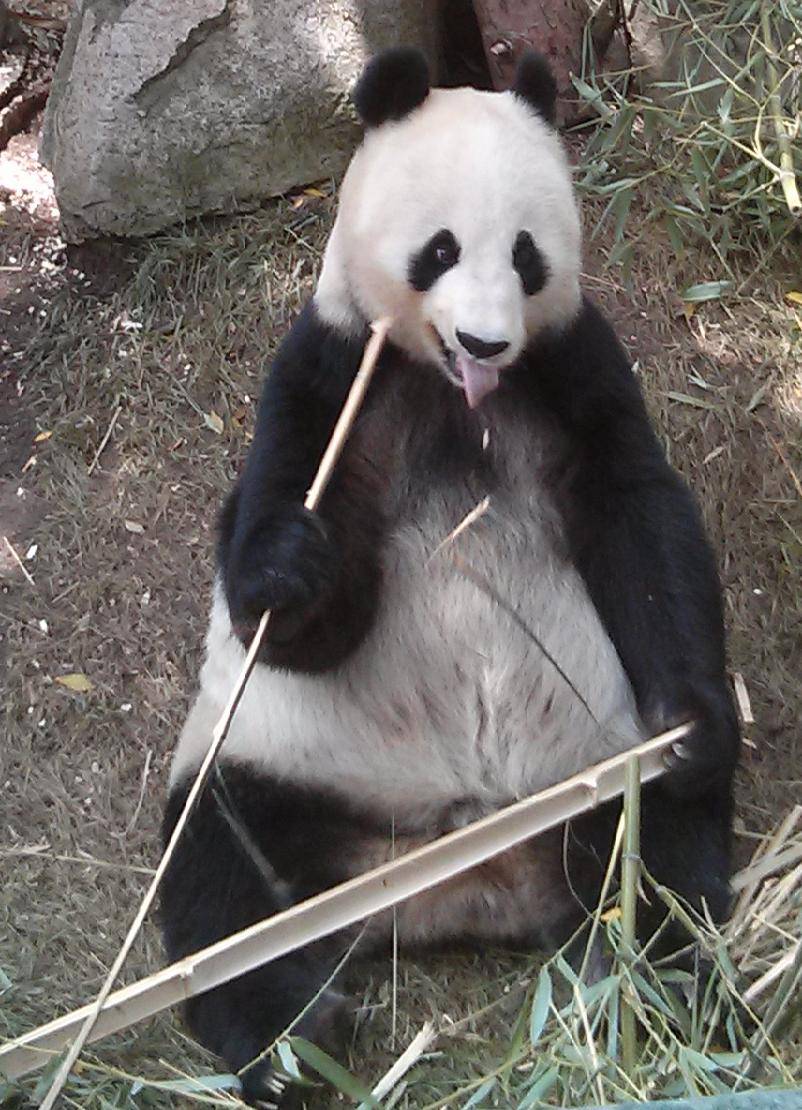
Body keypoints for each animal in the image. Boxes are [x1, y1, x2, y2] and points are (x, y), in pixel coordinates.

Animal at [161, 47, 739, 1104]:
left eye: (525, 256)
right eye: (438, 250)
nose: (485, 342)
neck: (450, 391)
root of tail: (465, 877)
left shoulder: (573, 365)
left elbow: (641, 524)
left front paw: (695, 718)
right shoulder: (331, 373)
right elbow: (292, 588)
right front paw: (291, 569)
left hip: (597, 759)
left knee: (664, 847)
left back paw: (659, 986)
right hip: (280, 760)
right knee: (219, 871)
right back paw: (293, 1043)